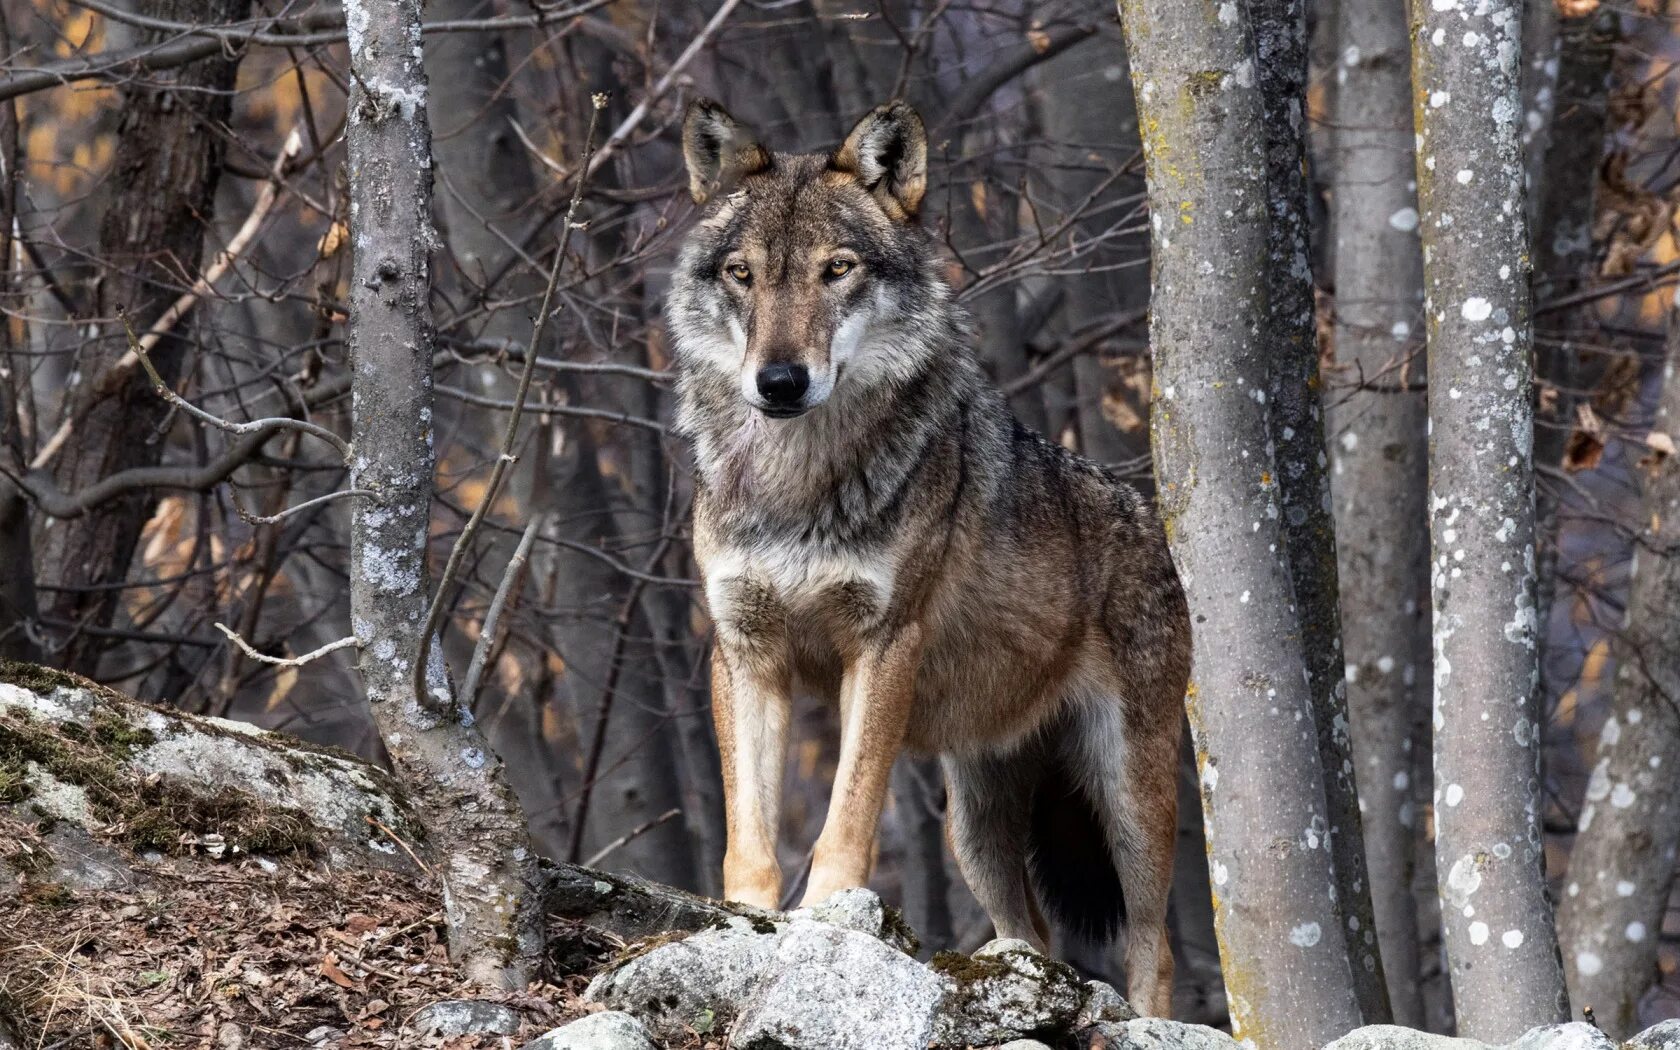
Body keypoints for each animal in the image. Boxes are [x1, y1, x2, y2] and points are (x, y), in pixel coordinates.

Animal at [661, 98, 1189, 1014]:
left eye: (837, 270)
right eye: (742, 274)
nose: (780, 381)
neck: (796, 482)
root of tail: (1146, 517)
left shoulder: (884, 645)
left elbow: (846, 816)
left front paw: (828, 924)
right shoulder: (743, 650)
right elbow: (749, 834)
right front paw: (746, 923)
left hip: (1128, 797)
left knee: (1152, 950)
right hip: (974, 830)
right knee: (1032, 936)